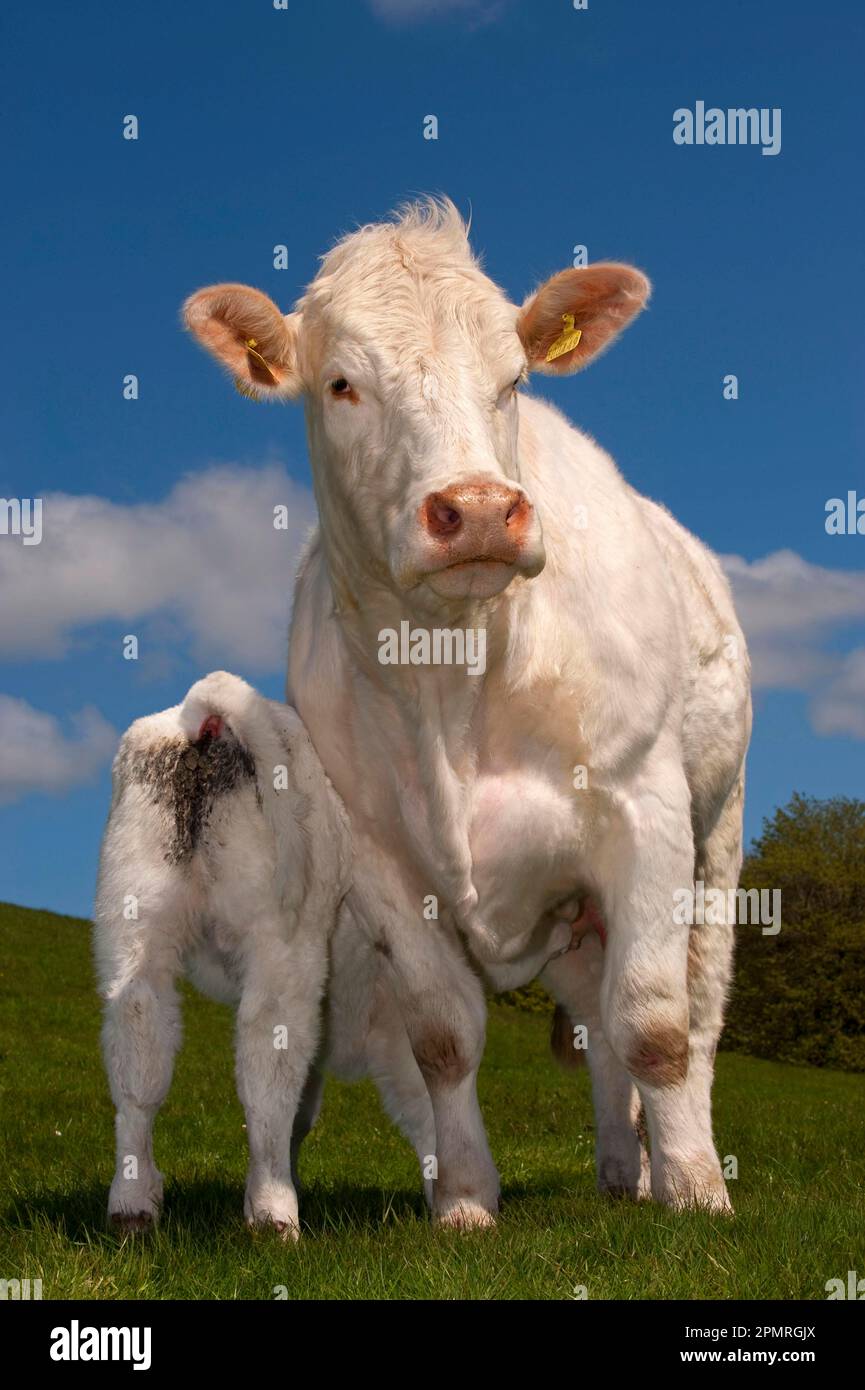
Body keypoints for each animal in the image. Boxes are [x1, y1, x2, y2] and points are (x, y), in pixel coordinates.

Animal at [94, 671, 351, 1237]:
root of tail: (204, 713)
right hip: (286, 940)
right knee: (269, 1061)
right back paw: (274, 1208)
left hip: (133, 912)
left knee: (139, 1041)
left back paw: (133, 1204)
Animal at [184, 198, 752, 1230]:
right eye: (341, 384)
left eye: (513, 378)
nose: (481, 510)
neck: (451, 679)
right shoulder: (380, 858)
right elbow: (444, 1037)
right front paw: (463, 1200)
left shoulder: (643, 812)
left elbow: (655, 1024)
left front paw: (694, 1196)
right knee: (595, 1026)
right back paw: (620, 1174)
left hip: (715, 833)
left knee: (691, 1007)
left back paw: (668, 1170)